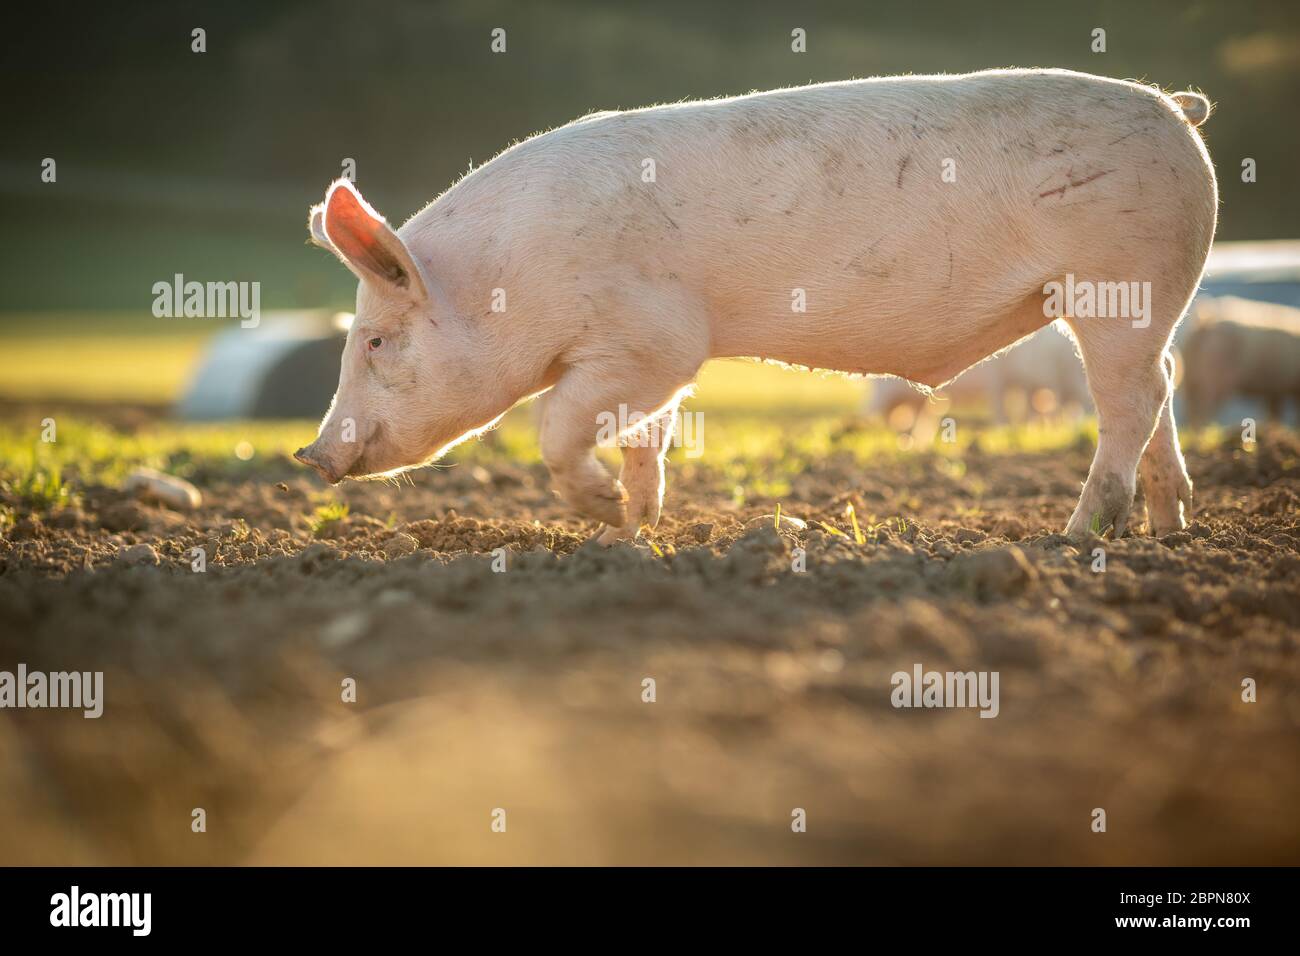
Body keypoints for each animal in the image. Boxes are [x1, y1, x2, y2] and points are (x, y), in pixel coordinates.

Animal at [295, 68, 1217, 542]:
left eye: (374, 341)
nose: (310, 455)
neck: (508, 278)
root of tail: (1174, 108)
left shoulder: (653, 340)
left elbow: (560, 426)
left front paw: (599, 511)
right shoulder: (657, 368)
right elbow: (646, 438)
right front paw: (636, 529)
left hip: (1120, 281)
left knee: (1132, 399)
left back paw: (1076, 536)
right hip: (1138, 301)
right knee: (1165, 385)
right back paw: (1170, 530)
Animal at [1181, 295, 1300, 426]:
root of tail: (1205, 322)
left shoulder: (1275, 391)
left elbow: (1274, 415)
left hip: (1191, 380)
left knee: (1192, 412)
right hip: (1214, 381)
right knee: (1204, 410)